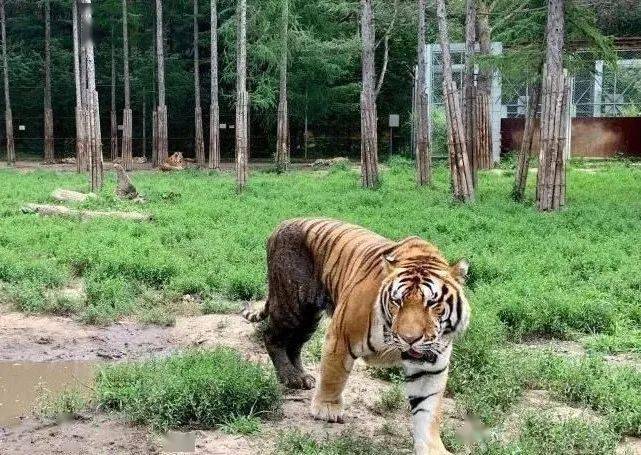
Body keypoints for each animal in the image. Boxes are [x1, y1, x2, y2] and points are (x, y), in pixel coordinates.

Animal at [243, 218, 470, 455]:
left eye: (432, 304)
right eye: (397, 301)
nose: (409, 339)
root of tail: (281, 224)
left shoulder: (432, 366)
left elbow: (429, 410)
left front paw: (434, 448)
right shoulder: (341, 335)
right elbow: (333, 376)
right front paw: (327, 409)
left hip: (309, 319)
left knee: (294, 345)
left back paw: (302, 377)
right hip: (292, 306)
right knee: (272, 337)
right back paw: (290, 377)